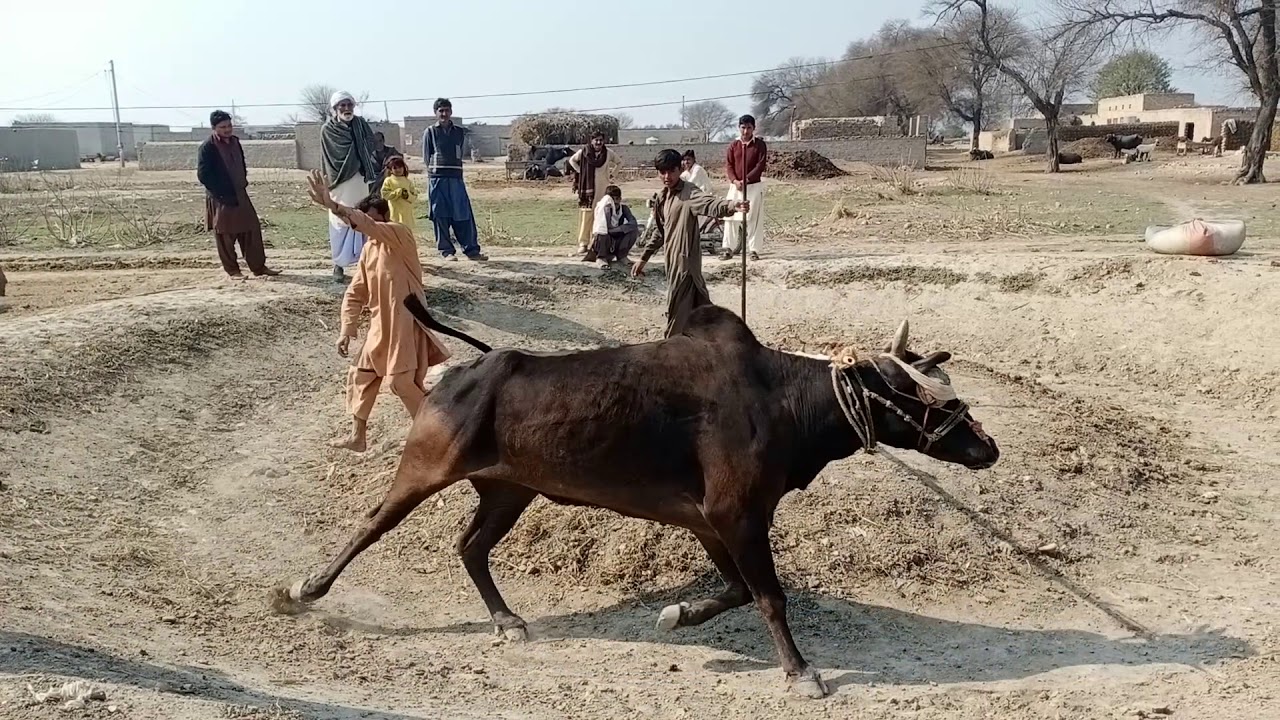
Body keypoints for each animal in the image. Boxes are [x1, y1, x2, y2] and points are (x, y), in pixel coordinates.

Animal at [276, 302, 1000, 699]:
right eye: (936, 401)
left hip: (511, 489)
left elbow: (735, 591)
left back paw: (508, 620)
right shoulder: (739, 516)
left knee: (471, 546)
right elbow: (768, 596)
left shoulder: (711, 521)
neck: (785, 403)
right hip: (426, 466)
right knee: (372, 524)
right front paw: (800, 673)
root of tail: (469, 367)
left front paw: (676, 615)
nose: (986, 447)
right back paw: (304, 589)